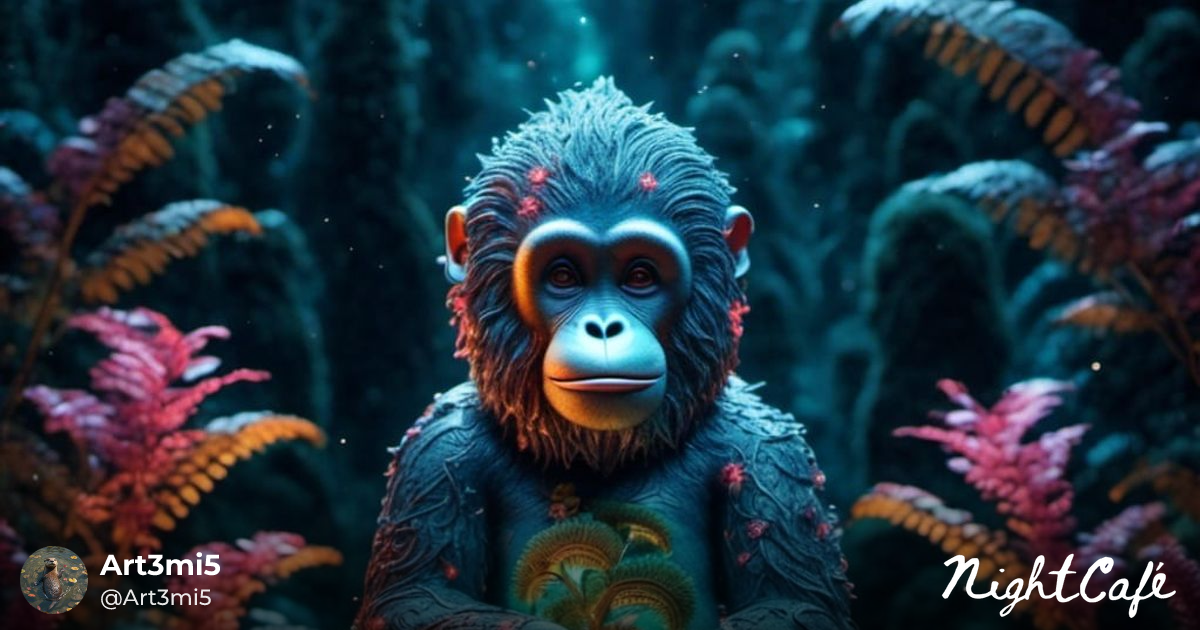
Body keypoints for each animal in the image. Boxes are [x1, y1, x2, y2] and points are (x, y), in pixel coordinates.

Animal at [356, 78, 852, 630]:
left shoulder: (767, 450)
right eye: (563, 276)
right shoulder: (436, 449)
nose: (604, 327)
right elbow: (412, 597)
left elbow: (797, 601)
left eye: (639, 276)